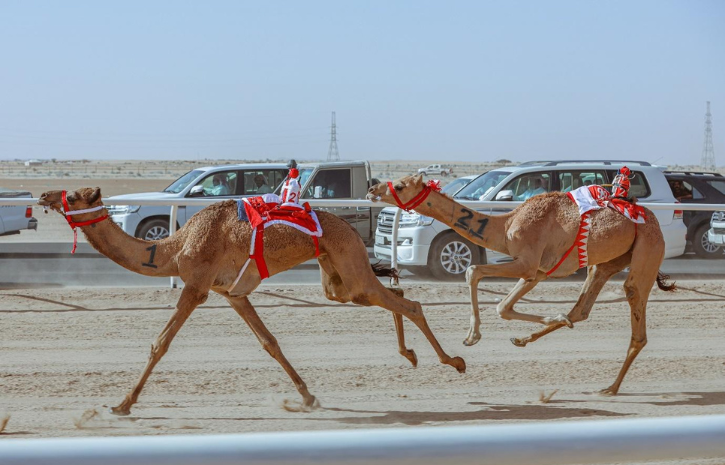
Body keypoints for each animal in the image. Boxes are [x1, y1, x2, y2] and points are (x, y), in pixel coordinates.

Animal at [38, 187, 465, 415]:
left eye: (72, 195)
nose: (44, 193)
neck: (173, 250)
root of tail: (352, 227)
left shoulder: (197, 285)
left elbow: (160, 344)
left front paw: (123, 404)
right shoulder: (233, 293)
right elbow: (269, 342)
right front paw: (307, 396)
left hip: (348, 263)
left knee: (408, 303)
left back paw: (453, 361)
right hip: (338, 277)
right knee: (392, 294)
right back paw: (410, 354)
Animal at [367, 175, 675, 395]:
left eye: (400, 185)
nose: (372, 189)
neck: (505, 227)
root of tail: (653, 220)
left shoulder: (527, 263)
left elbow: (472, 271)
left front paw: (472, 336)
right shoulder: (536, 271)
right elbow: (503, 307)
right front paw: (551, 320)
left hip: (648, 247)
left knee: (635, 310)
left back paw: (611, 387)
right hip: (607, 261)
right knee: (583, 307)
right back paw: (531, 338)